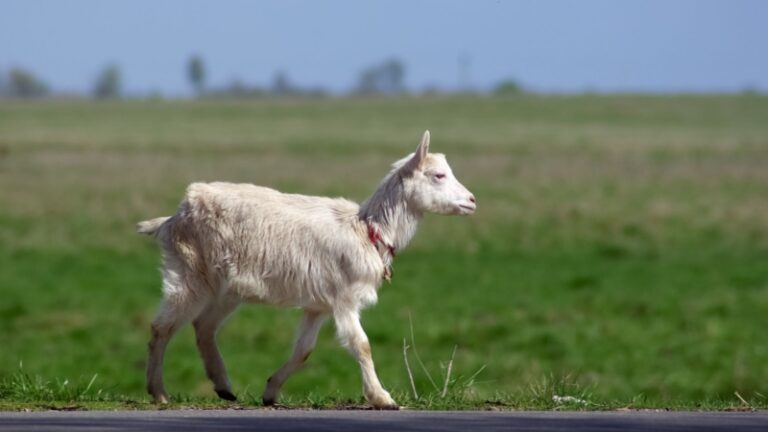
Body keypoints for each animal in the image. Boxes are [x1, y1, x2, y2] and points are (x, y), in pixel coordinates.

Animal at [137, 131, 476, 409]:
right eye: (438, 175)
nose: (472, 201)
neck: (368, 230)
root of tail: (173, 217)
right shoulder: (344, 298)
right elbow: (361, 345)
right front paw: (382, 398)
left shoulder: (319, 305)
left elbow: (304, 350)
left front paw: (271, 392)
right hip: (190, 272)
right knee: (162, 328)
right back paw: (159, 392)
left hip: (227, 289)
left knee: (204, 326)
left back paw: (224, 387)